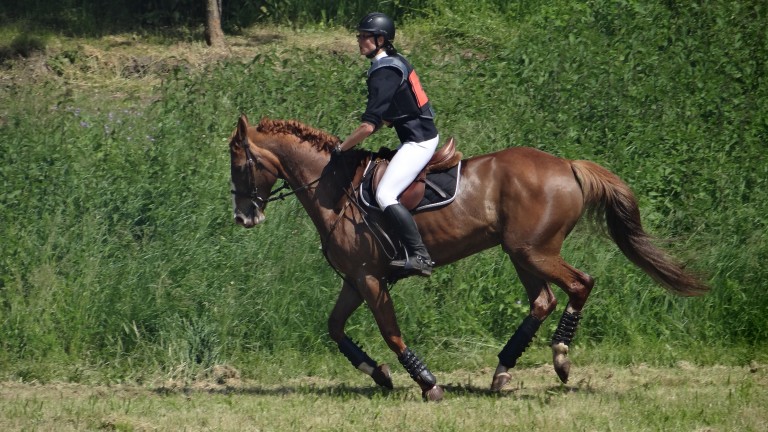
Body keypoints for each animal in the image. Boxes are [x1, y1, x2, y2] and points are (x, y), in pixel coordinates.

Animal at [228, 114, 709, 401]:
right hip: (521, 253)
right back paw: (502, 372)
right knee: (543, 300)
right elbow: (334, 328)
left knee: (579, 284)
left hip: (534, 251)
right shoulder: (355, 279)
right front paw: (378, 374)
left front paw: (427, 383)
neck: (335, 190)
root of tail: (567, 166)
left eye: (238, 163)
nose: (243, 216)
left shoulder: (369, 278)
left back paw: (560, 357)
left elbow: (391, 333)